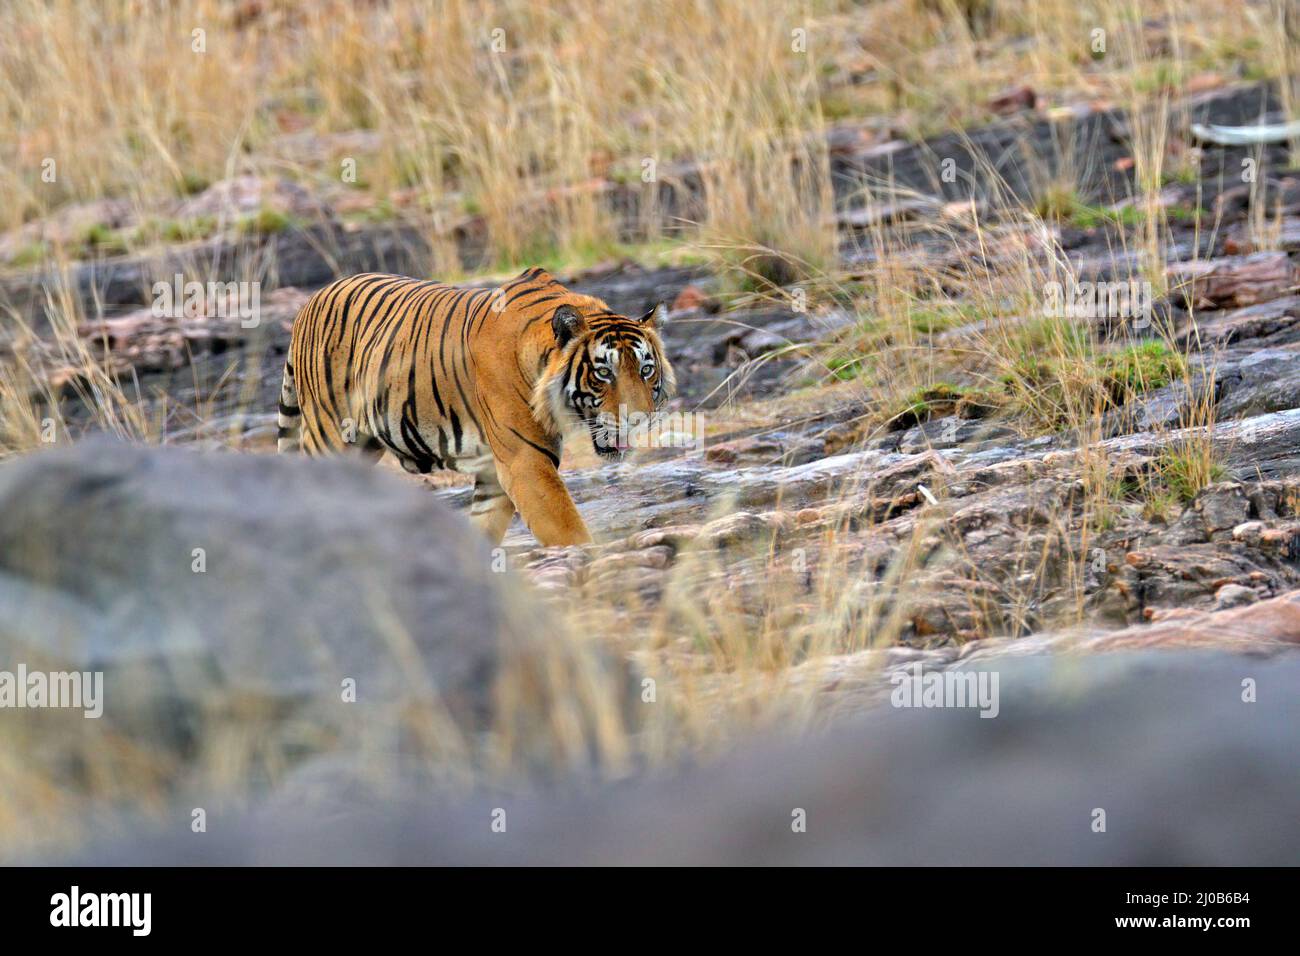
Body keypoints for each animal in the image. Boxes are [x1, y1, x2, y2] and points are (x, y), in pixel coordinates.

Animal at [276, 267, 675, 547]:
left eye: (646, 370)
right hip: (330, 436)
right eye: (604, 372)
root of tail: (309, 302)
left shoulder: (495, 474)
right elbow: (568, 530)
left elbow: (484, 526)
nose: (638, 421)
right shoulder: (525, 461)